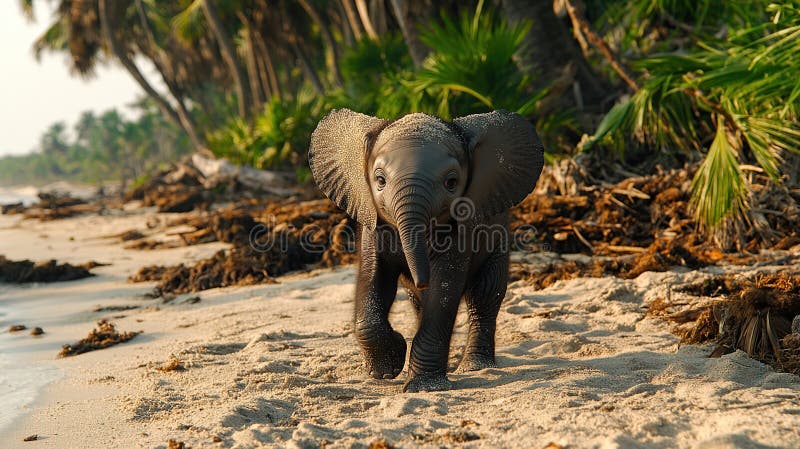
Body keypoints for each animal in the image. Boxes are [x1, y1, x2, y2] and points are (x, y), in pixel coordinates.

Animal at [308, 108, 544, 392]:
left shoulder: (461, 229)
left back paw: (475, 367)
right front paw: (387, 370)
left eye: (452, 182)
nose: (421, 280)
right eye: (379, 180)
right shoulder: (372, 225)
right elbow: (373, 280)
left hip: (499, 237)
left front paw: (424, 387)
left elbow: (443, 288)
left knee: (484, 295)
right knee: (420, 302)